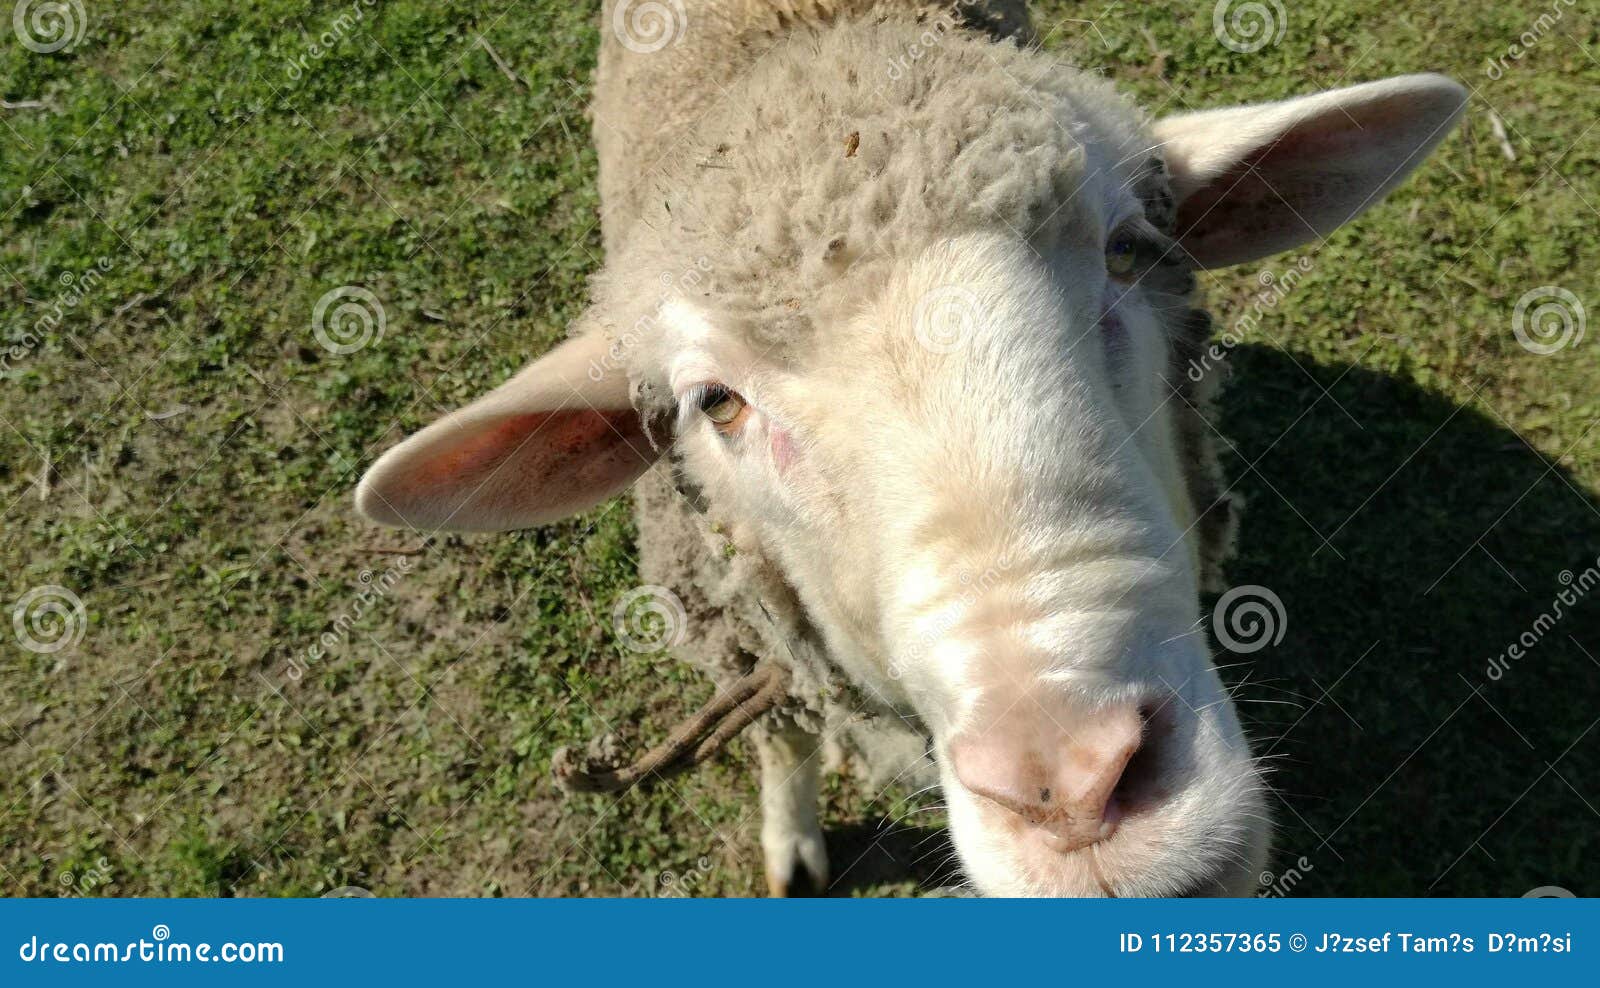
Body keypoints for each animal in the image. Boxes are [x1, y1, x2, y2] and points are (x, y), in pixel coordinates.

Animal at [355, 1, 1467, 896]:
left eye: (1126, 251)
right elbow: (784, 738)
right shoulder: (763, 637)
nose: (1074, 789)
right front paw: (790, 843)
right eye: (716, 402)